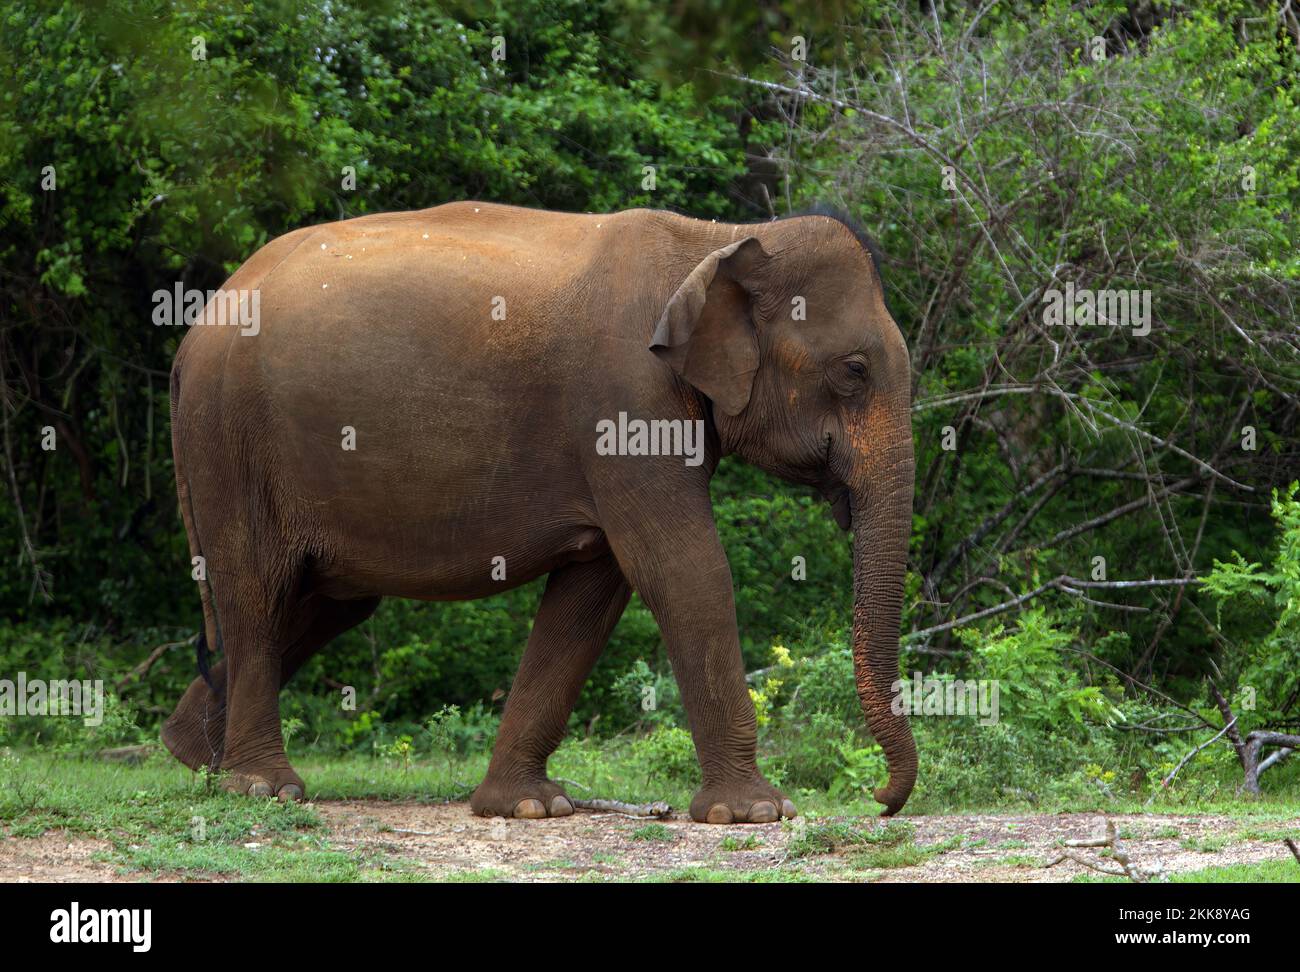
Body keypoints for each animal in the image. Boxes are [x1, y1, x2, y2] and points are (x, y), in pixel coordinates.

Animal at [160, 200, 917, 822]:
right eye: (854, 371)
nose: (877, 798)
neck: (717, 240)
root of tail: (192, 333)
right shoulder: (624, 405)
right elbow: (682, 569)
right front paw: (758, 812)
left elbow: (592, 592)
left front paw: (527, 806)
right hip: (230, 437)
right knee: (257, 590)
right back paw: (262, 788)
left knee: (326, 602)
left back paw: (196, 756)